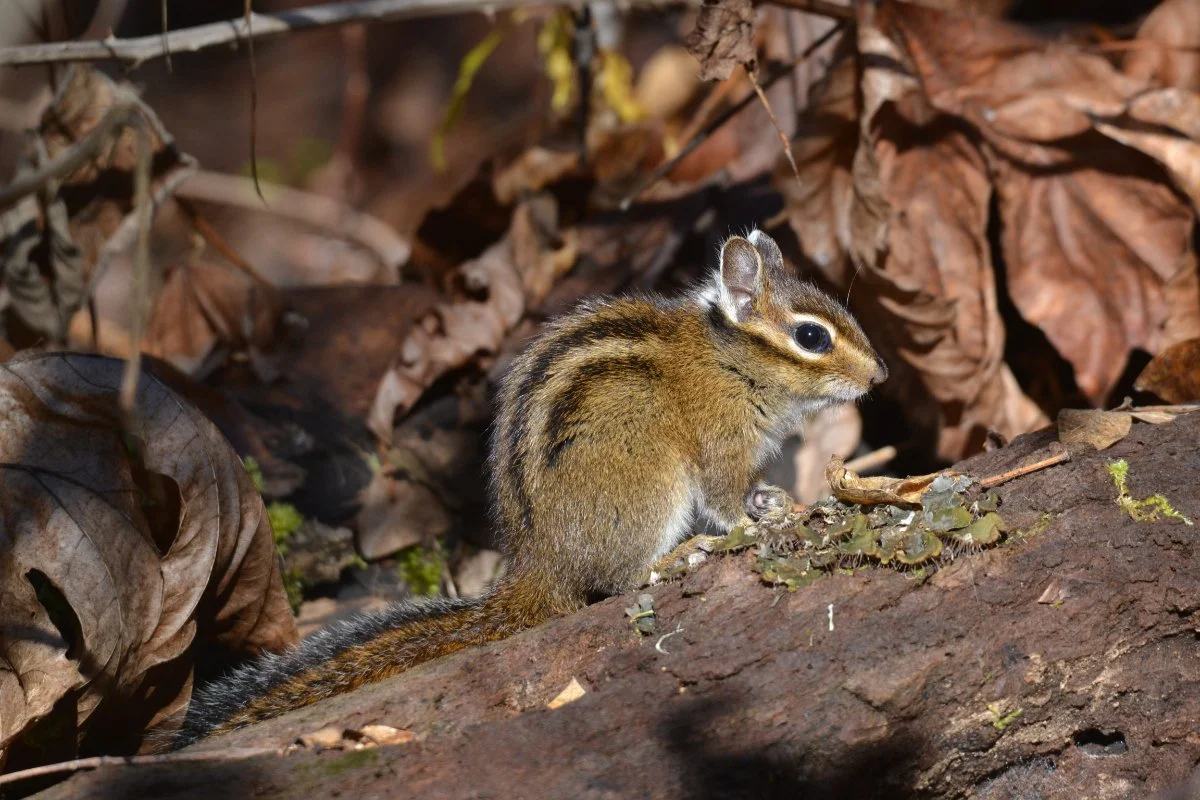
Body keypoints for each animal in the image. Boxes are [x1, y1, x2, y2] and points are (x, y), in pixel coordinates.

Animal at [173, 229, 886, 747]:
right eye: (812, 336)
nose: (880, 376)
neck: (729, 359)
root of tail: (539, 566)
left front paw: (778, 500)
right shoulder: (718, 445)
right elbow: (724, 497)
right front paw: (757, 518)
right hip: (648, 488)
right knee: (620, 581)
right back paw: (679, 557)